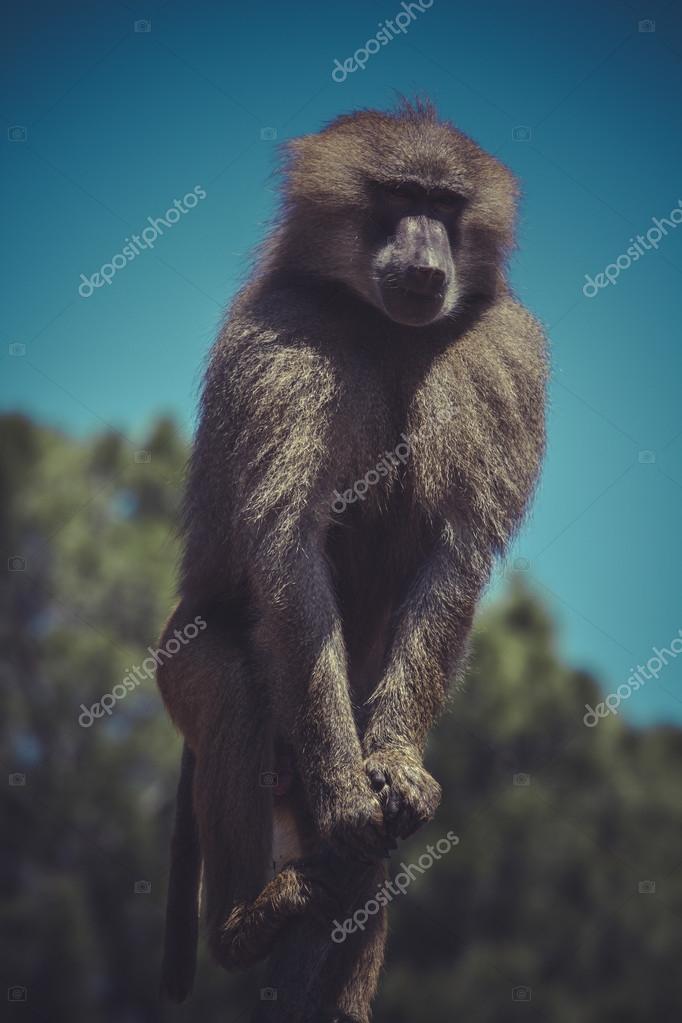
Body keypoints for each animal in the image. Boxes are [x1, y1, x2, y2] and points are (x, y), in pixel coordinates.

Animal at [156, 98, 547, 1022]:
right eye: (398, 196)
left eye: (444, 205)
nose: (427, 260)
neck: (380, 324)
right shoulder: (284, 342)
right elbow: (287, 542)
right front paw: (344, 788)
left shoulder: (502, 353)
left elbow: (454, 557)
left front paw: (396, 765)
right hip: (180, 666)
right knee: (229, 685)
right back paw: (244, 923)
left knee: (366, 866)